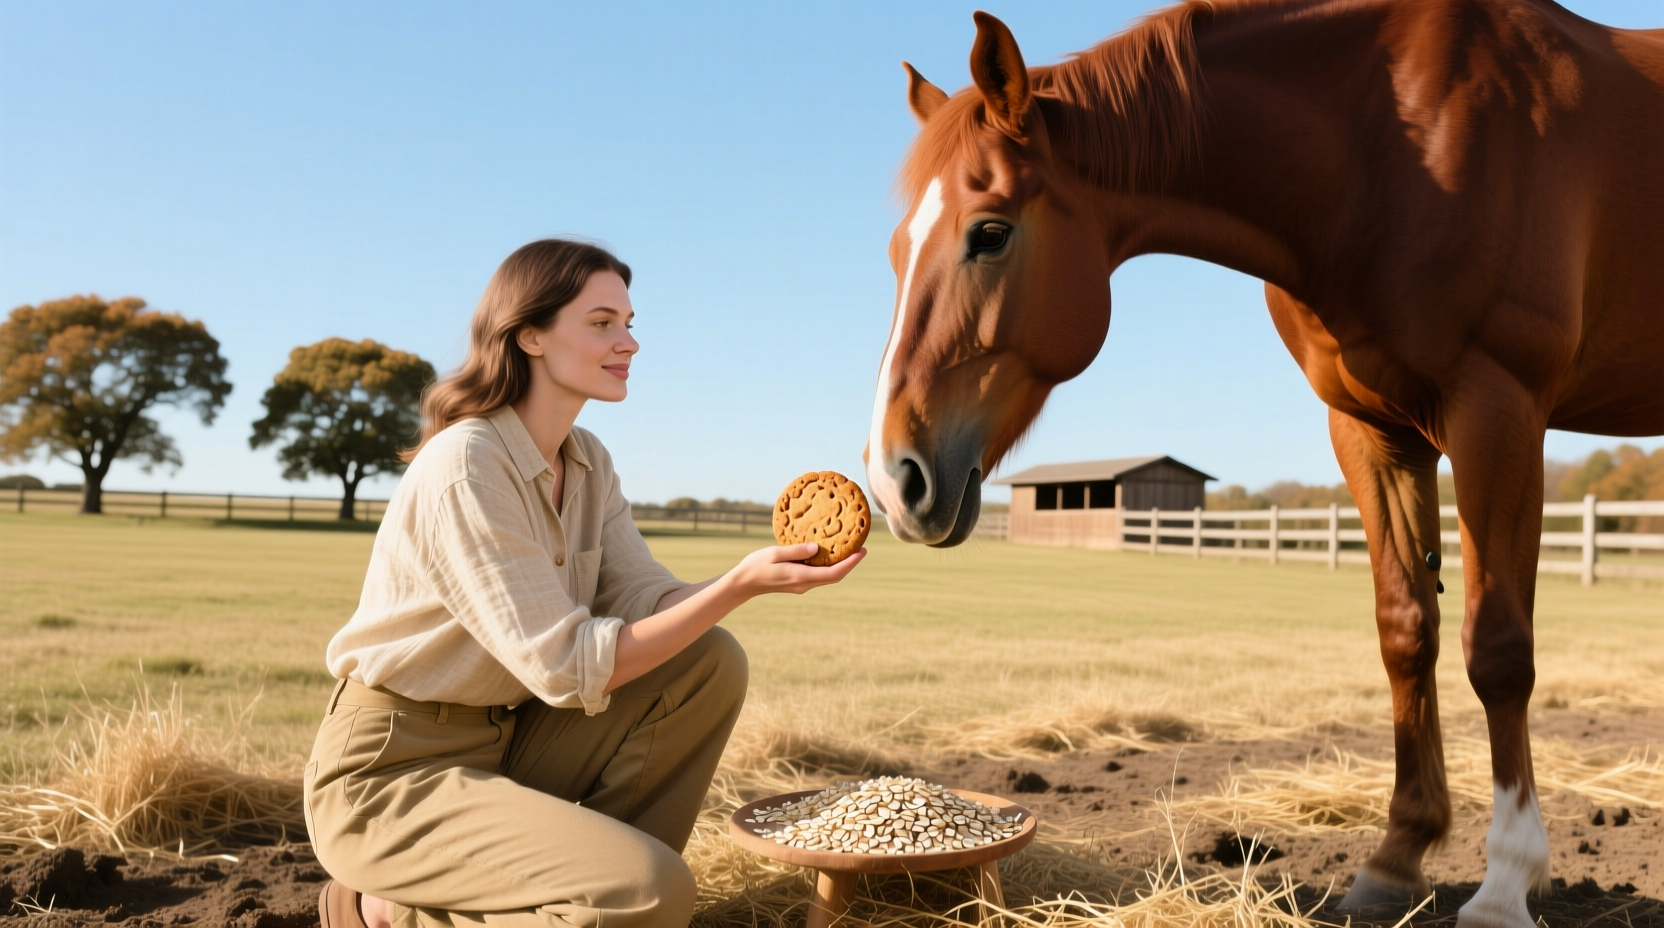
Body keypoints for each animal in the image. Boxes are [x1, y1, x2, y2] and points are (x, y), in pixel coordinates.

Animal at [864, 1, 1663, 924]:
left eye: (989, 233)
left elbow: (1497, 649)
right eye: (896, 249)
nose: (894, 478)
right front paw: (1397, 857)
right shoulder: (1371, 431)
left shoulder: (1497, 409)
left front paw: (1505, 882)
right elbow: (1406, 632)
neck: (1394, 147)